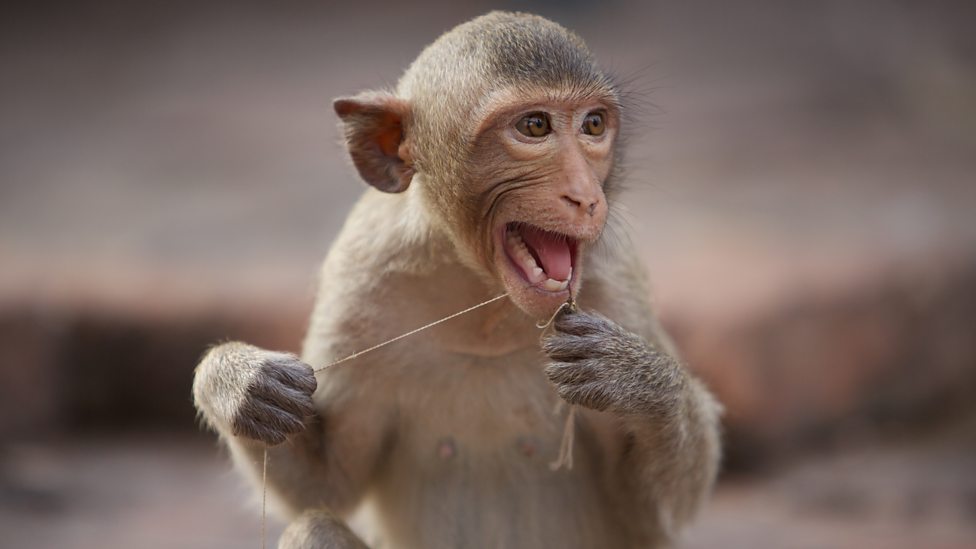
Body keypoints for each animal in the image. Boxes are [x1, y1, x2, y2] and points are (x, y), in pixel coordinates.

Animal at [193, 11, 721, 549]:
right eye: (535, 126)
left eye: (593, 124)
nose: (586, 197)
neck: (486, 299)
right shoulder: (359, 280)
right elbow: (325, 483)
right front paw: (237, 383)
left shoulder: (618, 286)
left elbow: (652, 508)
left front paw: (635, 378)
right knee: (312, 525)